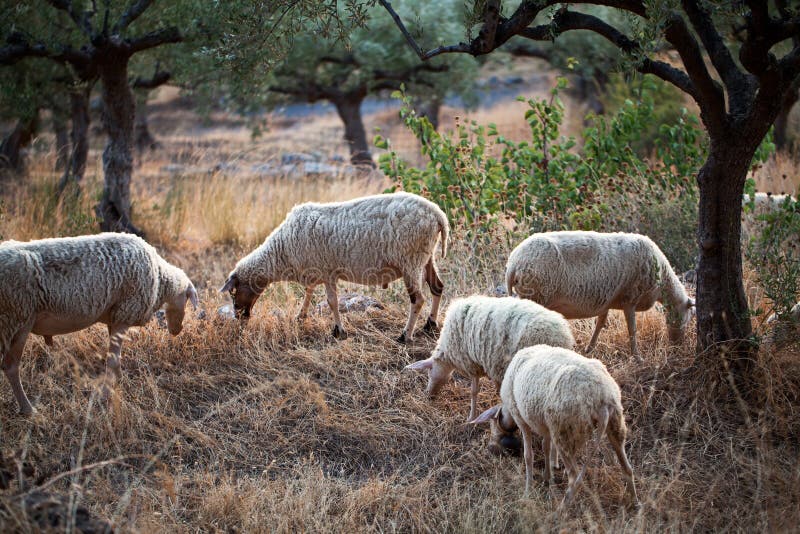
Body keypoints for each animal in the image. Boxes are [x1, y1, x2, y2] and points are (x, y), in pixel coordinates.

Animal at [0, 233, 198, 415]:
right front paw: (106, 394)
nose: (177, 330)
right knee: (10, 366)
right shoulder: (125, 314)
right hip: (17, 319)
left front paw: (118, 381)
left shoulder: (115, 317)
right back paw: (28, 409)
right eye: (187, 299)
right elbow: (112, 360)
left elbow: (116, 359)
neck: (160, 278)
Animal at [221, 192, 449, 342]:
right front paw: (301, 316)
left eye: (233, 292)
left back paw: (405, 335)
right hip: (427, 257)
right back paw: (430, 325)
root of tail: (438, 215)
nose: (240, 319)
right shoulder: (314, 269)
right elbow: (309, 291)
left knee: (418, 299)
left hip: (410, 260)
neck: (280, 251)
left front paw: (339, 331)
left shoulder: (327, 271)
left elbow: (332, 302)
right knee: (437, 287)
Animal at [405, 295, 575, 422]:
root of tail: (563, 335)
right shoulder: (493, 366)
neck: (448, 352)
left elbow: (474, 392)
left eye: (429, 372)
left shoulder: (471, 363)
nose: (429, 396)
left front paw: (471, 418)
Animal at [471, 344, 637, 508]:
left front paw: (528, 491)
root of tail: (601, 398)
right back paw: (635, 503)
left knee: (574, 478)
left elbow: (528, 456)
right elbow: (546, 447)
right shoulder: (545, 425)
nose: (492, 449)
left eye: (491, 423)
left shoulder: (521, 418)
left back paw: (561, 509)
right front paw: (548, 476)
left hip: (564, 431)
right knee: (627, 468)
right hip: (615, 423)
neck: (508, 412)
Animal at [506, 231, 694, 357]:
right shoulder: (630, 298)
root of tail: (513, 264)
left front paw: (589, 349)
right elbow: (632, 329)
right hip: (537, 294)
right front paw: (637, 357)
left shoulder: (606, 300)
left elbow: (600, 324)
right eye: (689, 315)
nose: (677, 346)